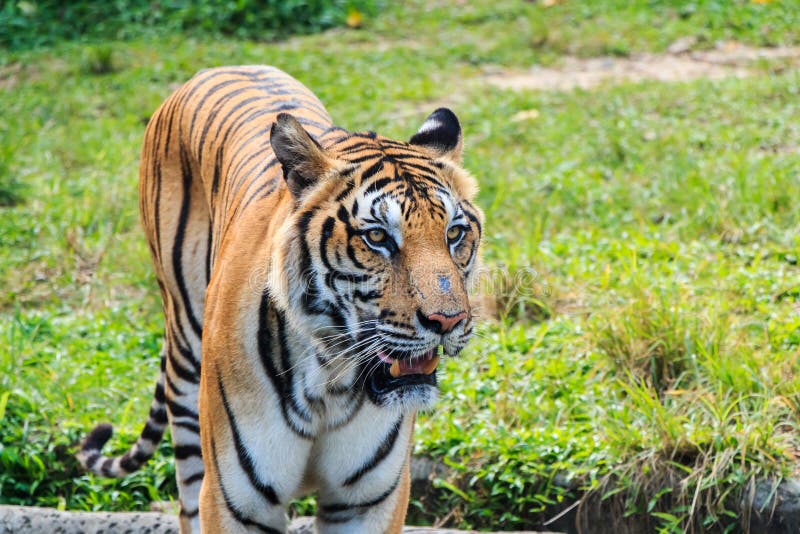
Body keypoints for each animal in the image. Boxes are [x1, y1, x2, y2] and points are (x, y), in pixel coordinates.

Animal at [77, 66, 483, 533]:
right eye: (378, 238)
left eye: (454, 233)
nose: (448, 322)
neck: (331, 378)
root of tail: (218, 68)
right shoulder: (237, 502)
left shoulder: (368, 500)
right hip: (184, 354)